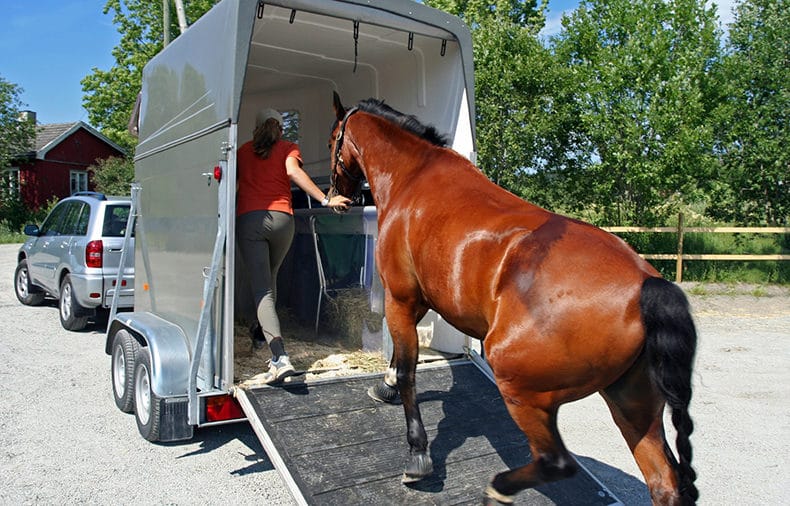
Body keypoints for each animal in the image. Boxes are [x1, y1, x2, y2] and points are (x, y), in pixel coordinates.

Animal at [326, 92, 698, 505]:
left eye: (332, 141)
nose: (335, 195)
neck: (414, 178)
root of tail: (648, 285)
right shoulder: (417, 300)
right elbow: (399, 364)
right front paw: (385, 386)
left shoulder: (400, 298)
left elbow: (408, 371)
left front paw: (418, 453)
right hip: (632, 405)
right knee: (664, 483)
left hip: (523, 390)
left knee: (556, 462)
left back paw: (498, 489)